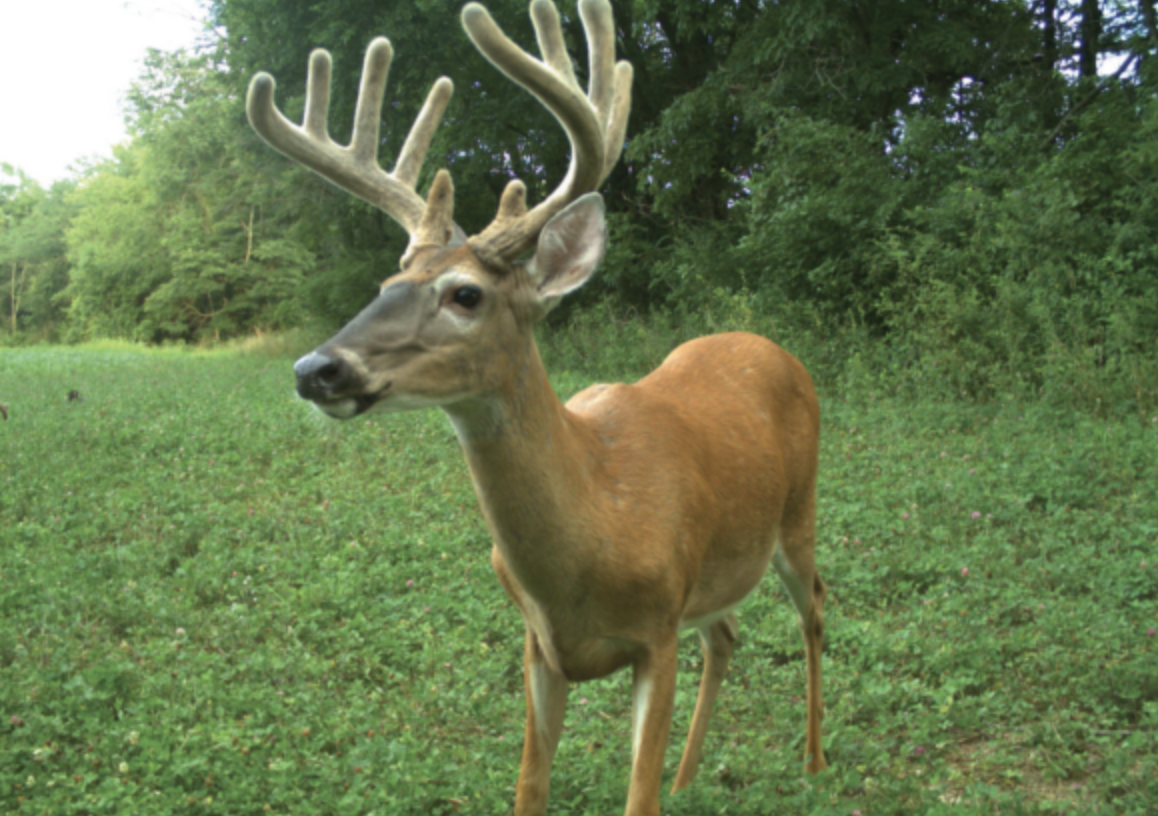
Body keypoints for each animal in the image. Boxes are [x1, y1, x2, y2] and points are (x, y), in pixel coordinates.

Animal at [246, 1, 827, 814]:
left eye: (465, 294)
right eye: (386, 285)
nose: (316, 368)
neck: (595, 527)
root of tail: (771, 345)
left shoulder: (657, 628)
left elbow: (637, 796)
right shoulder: (537, 644)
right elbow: (530, 783)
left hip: (798, 511)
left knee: (815, 612)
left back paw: (814, 762)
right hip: (722, 571)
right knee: (727, 636)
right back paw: (691, 777)